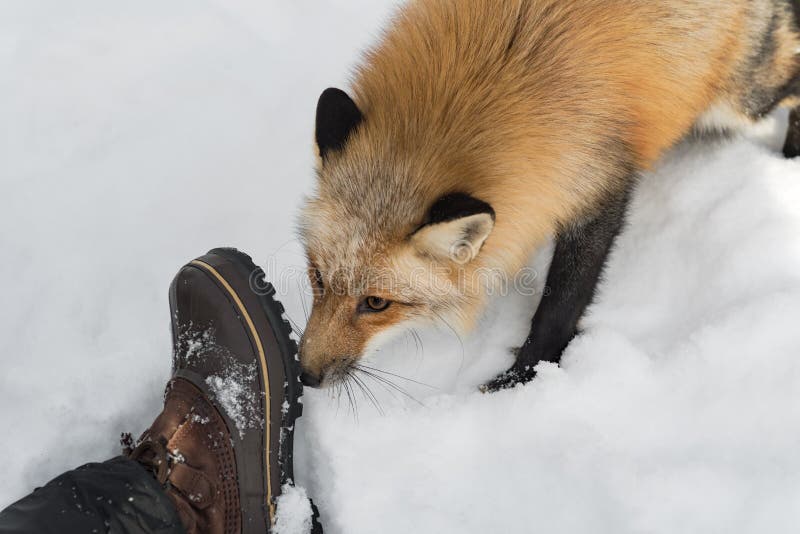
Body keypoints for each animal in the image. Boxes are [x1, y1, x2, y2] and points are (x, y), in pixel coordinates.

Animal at [298, 0, 800, 391]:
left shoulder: (596, 182)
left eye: (376, 303)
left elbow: (560, 304)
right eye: (318, 277)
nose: (306, 375)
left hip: (743, 98)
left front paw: (523, 378)